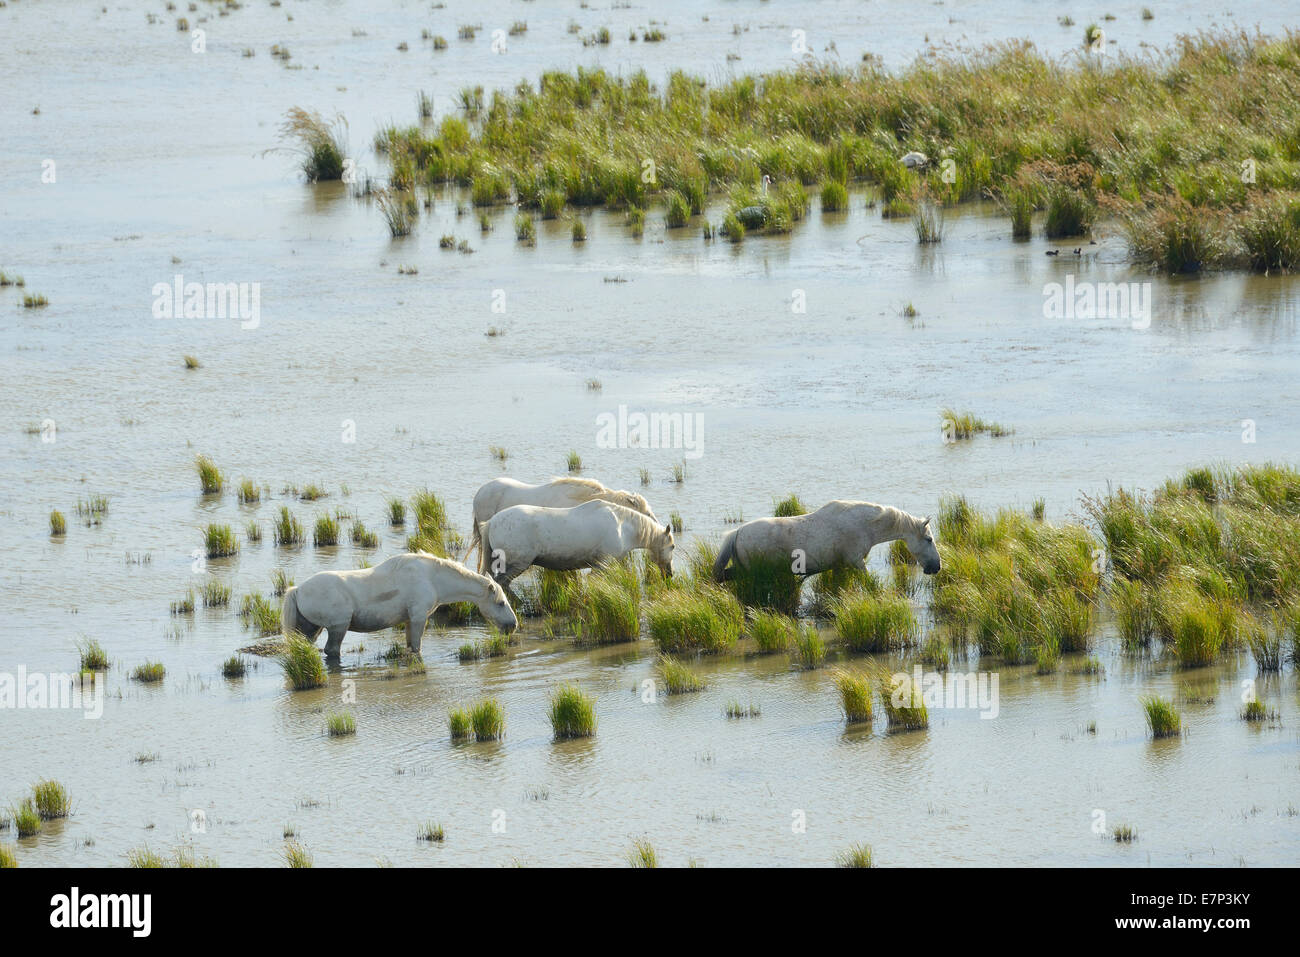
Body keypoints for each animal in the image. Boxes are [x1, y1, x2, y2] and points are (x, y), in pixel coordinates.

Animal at [281, 553, 517, 657]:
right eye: (501, 603)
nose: (513, 626)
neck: (432, 577)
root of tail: (298, 590)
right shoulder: (419, 617)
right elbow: (416, 646)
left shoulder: (409, 620)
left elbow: (410, 646)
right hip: (337, 628)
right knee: (332, 650)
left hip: (311, 629)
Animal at [477, 499, 674, 588]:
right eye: (672, 546)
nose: (669, 574)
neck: (622, 525)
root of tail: (492, 522)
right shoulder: (604, 563)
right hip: (518, 563)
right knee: (502, 583)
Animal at [712, 500, 941, 582]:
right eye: (929, 539)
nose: (936, 567)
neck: (863, 524)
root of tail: (737, 532)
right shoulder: (856, 562)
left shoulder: (839, 566)